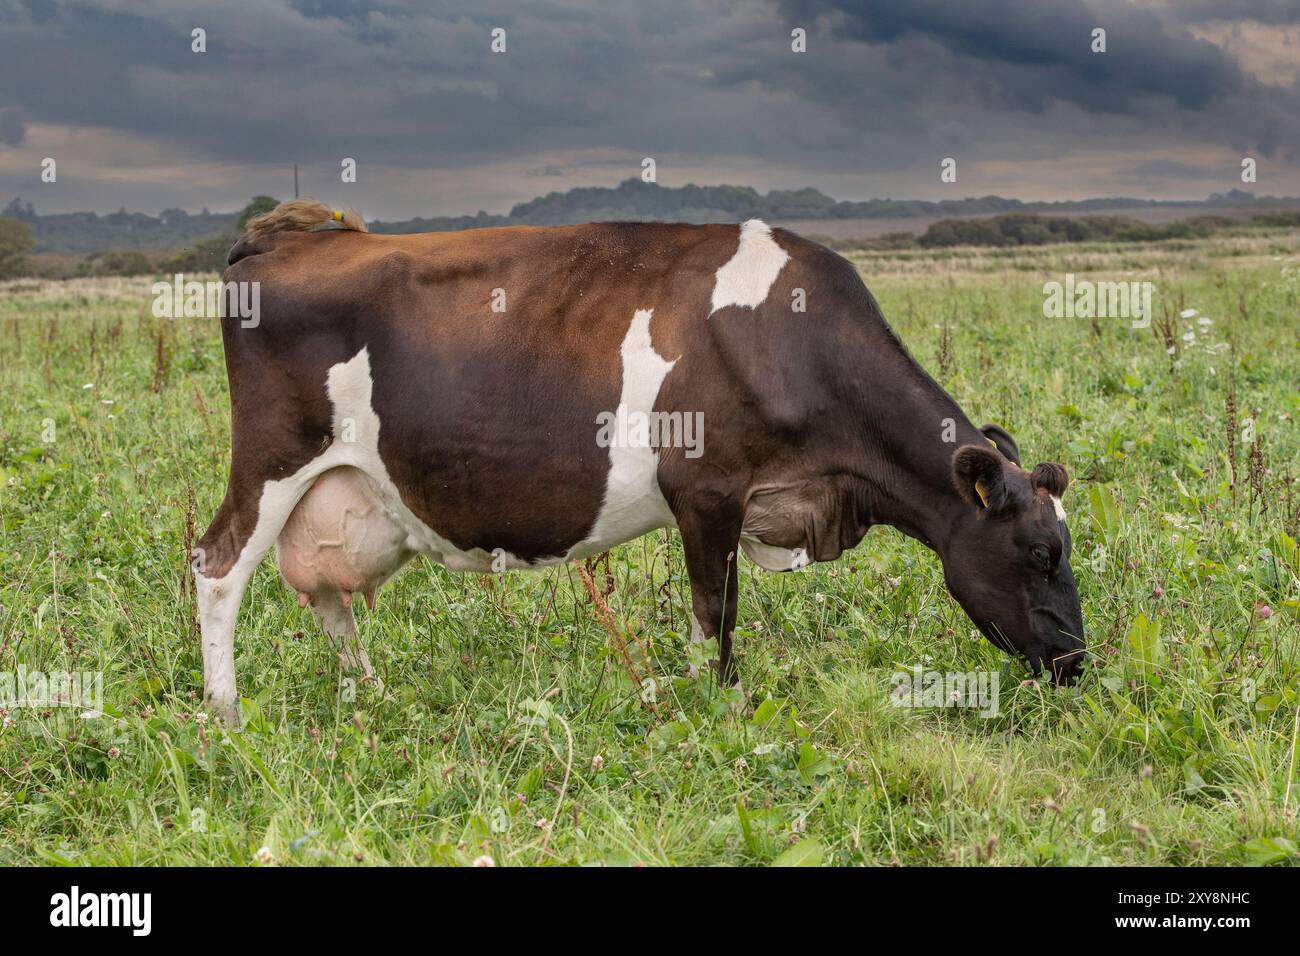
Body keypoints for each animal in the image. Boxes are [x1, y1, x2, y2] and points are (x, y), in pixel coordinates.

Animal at [195, 200, 1085, 725]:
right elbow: (714, 614)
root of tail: (286, 236)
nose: (1079, 665)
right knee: (218, 566)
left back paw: (373, 697)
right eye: (1041, 553)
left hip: (341, 488)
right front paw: (719, 710)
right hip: (274, 460)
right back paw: (227, 715)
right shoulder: (708, 492)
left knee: (327, 597)